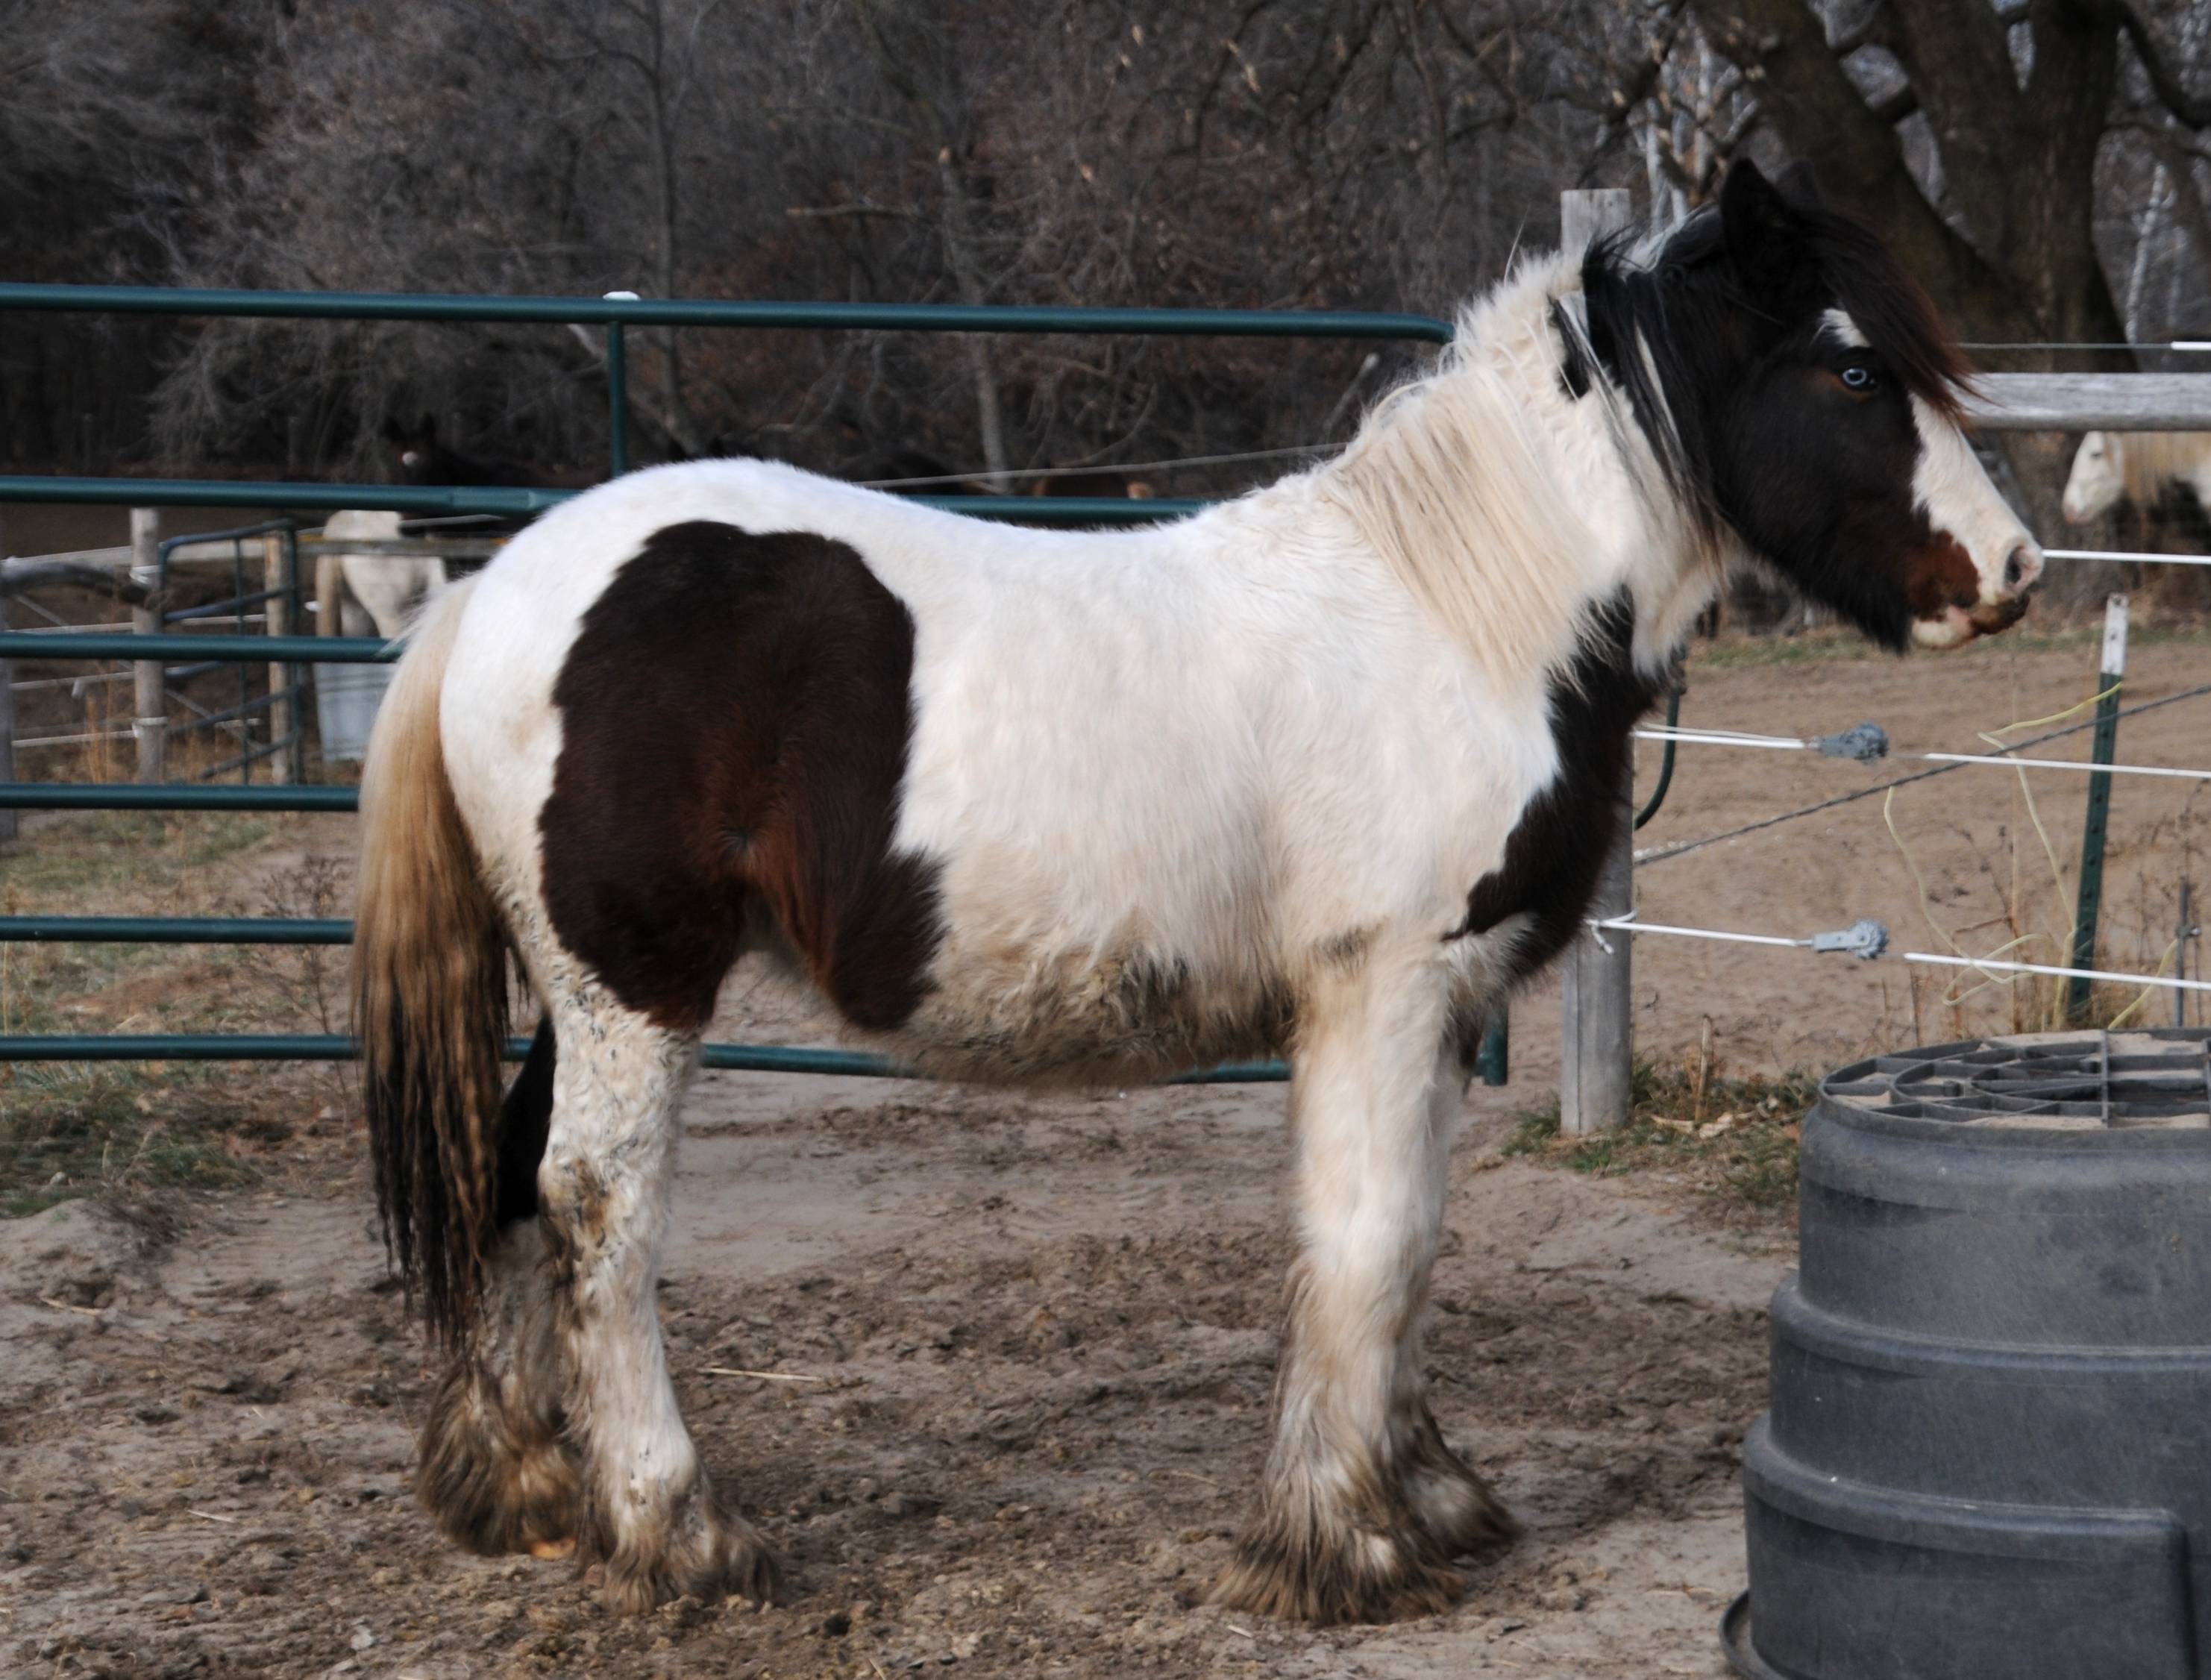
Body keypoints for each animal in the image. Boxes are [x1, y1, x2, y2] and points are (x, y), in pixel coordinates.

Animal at [351, 160, 2039, 1627]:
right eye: (1852, 374)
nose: (2012, 571)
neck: (1461, 612)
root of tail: (493, 588)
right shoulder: (1381, 988)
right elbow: (1366, 1240)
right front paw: (1340, 1543)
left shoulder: (1436, 1003)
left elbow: (1412, 1239)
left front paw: (1425, 1498)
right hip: (637, 981)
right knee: (600, 1205)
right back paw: (676, 1528)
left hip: (578, 986)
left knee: (516, 1184)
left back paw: (522, 1491)